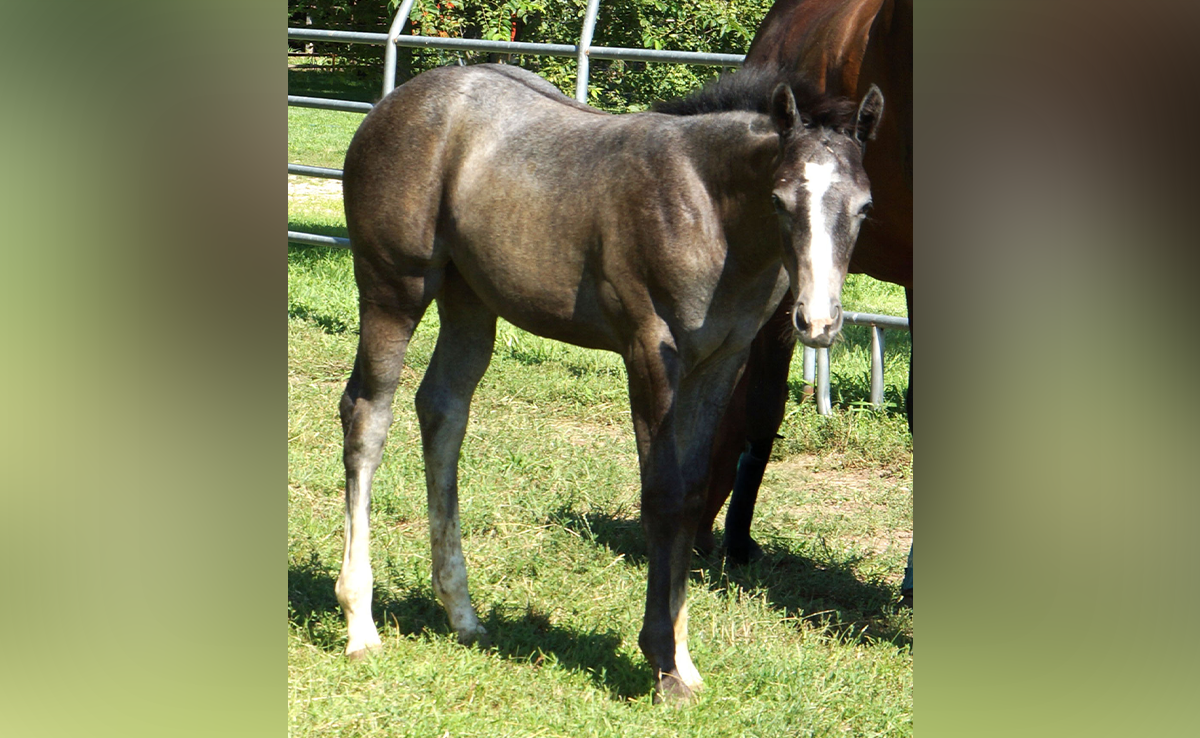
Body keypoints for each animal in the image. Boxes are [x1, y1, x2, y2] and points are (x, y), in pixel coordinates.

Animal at [336, 62, 882, 702]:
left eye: (864, 207)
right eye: (779, 199)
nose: (817, 322)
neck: (707, 206)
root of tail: (391, 104)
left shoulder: (721, 362)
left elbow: (692, 492)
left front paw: (685, 660)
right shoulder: (650, 353)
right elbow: (662, 495)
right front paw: (663, 663)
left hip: (469, 301)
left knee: (443, 413)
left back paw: (462, 614)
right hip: (393, 290)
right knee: (368, 416)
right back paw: (361, 623)